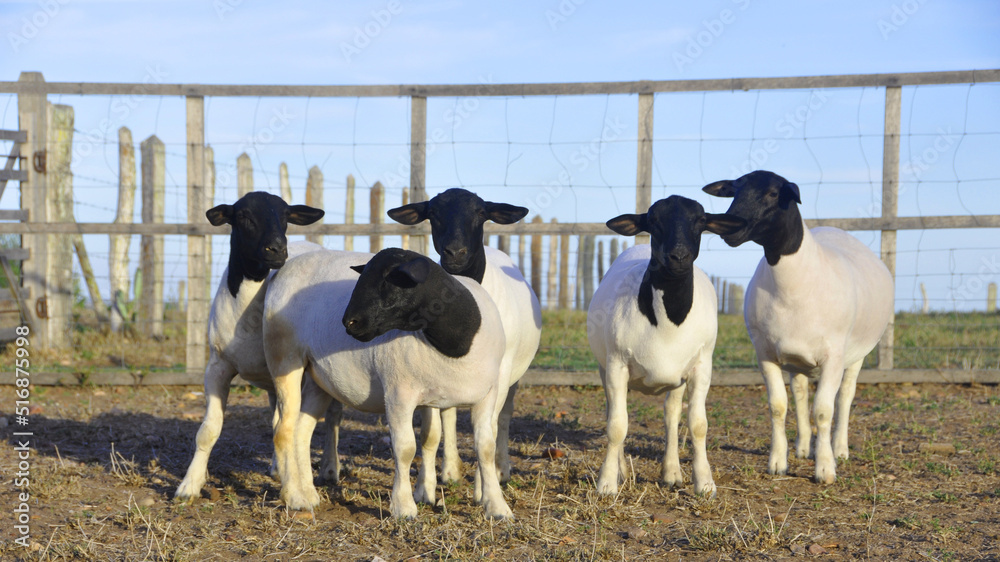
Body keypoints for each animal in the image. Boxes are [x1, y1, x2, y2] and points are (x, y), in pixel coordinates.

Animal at [175, 191, 337, 500]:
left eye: (285, 216)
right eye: (243, 216)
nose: (277, 249)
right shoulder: (217, 366)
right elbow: (209, 430)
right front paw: (189, 485)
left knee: (333, 418)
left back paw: (330, 469)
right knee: (278, 418)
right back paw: (278, 467)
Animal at [263, 248, 514, 520]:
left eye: (391, 279)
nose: (349, 322)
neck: (457, 342)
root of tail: (282, 271)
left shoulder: (485, 395)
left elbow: (483, 446)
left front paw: (497, 507)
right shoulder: (398, 394)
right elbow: (405, 448)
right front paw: (403, 507)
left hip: (318, 378)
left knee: (301, 430)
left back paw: (309, 494)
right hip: (284, 358)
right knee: (283, 430)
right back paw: (294, 497)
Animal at [387, 188, 541, 485]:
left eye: (481, 212)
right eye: (433, 213)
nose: (455, 252)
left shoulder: (500, 372)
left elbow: (488, 427)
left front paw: (484, 484)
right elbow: (431, 432)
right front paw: (427, 484)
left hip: (515, 372)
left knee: (503, 418)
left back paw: (502, 469)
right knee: (449, 414)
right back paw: (450, 470)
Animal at [587, 195, 744, 497]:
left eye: (701, 220)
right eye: (653, 220)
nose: (679, 256)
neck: (669, 321)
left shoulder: (702, 366)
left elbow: (697, 424)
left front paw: (704, 483)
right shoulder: (616, 365)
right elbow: (617, 426)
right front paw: (607, 483)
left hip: (678, 378)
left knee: (671, 416)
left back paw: (671, 473)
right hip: (605, 367)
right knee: (614, 411)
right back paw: (622, 471)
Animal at [702, 170, 894, 484]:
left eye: (773, 193)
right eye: (735, 191)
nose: (729, 230)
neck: (792, 288)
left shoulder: (833, 356)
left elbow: (824, 411)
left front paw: (825, 468)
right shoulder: (765, 353)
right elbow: (779, 406)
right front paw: (778, 462)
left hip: (857, 355)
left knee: (845, 397)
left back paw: (840, 448)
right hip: (796, 359)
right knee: (801, 393)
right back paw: (804, 446)